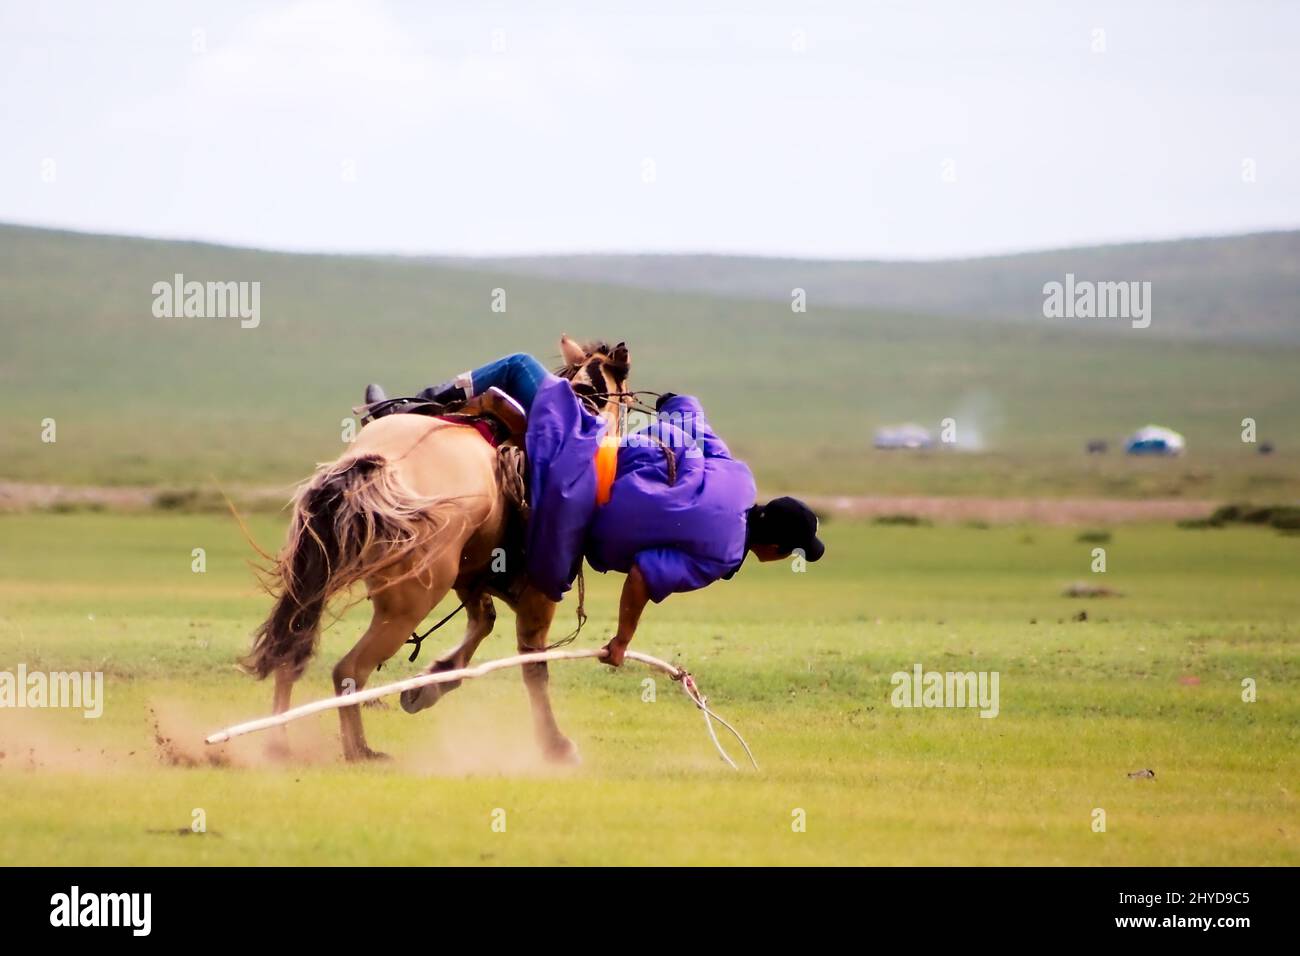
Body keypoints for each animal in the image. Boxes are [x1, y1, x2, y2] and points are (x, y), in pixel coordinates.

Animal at [240, 336, 631, 762]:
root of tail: (375, 468)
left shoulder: (471, 579)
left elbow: (483, 623)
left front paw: (428, 685)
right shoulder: (535, 596)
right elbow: (533, 665)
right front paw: (555, 745)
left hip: (321, 580)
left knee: (291, 651)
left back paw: (278, 743)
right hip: (407, 606)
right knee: (348, 670)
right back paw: (361, 751)